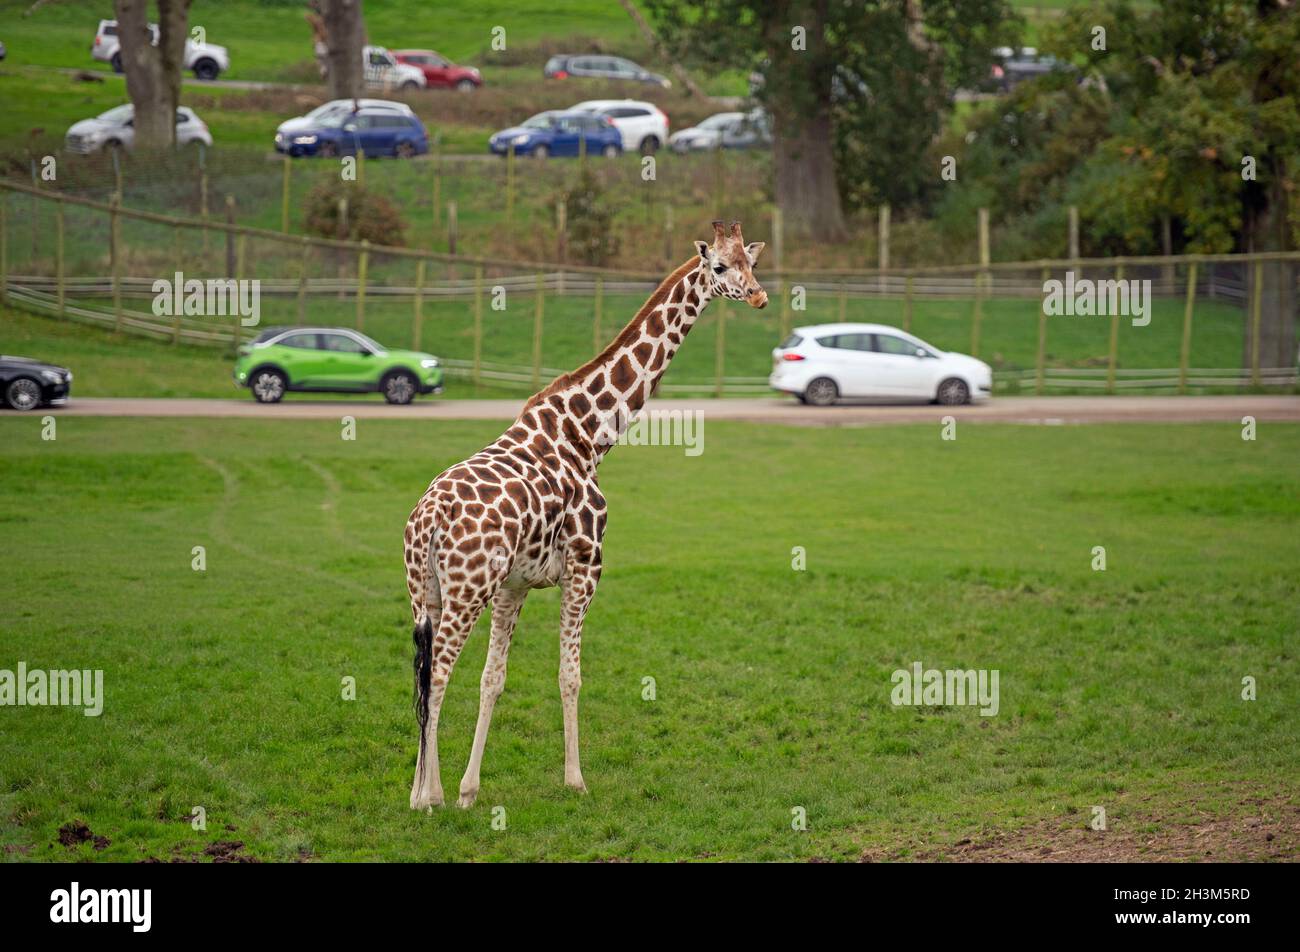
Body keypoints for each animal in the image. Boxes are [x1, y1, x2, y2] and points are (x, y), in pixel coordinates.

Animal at [405, 220, 767, 810]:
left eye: (752, 262)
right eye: (719, 266)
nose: (758, 295)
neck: (589, 435)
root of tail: (428, 519)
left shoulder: (515, 585)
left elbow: (492, 679)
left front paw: (467, 790)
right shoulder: (585, 568)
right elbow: (569, 677)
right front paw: (575, 779)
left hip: (426, 592)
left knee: (423, 674)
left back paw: (424, 791)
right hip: (465, 590)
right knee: (435, 676)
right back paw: (422, 799)